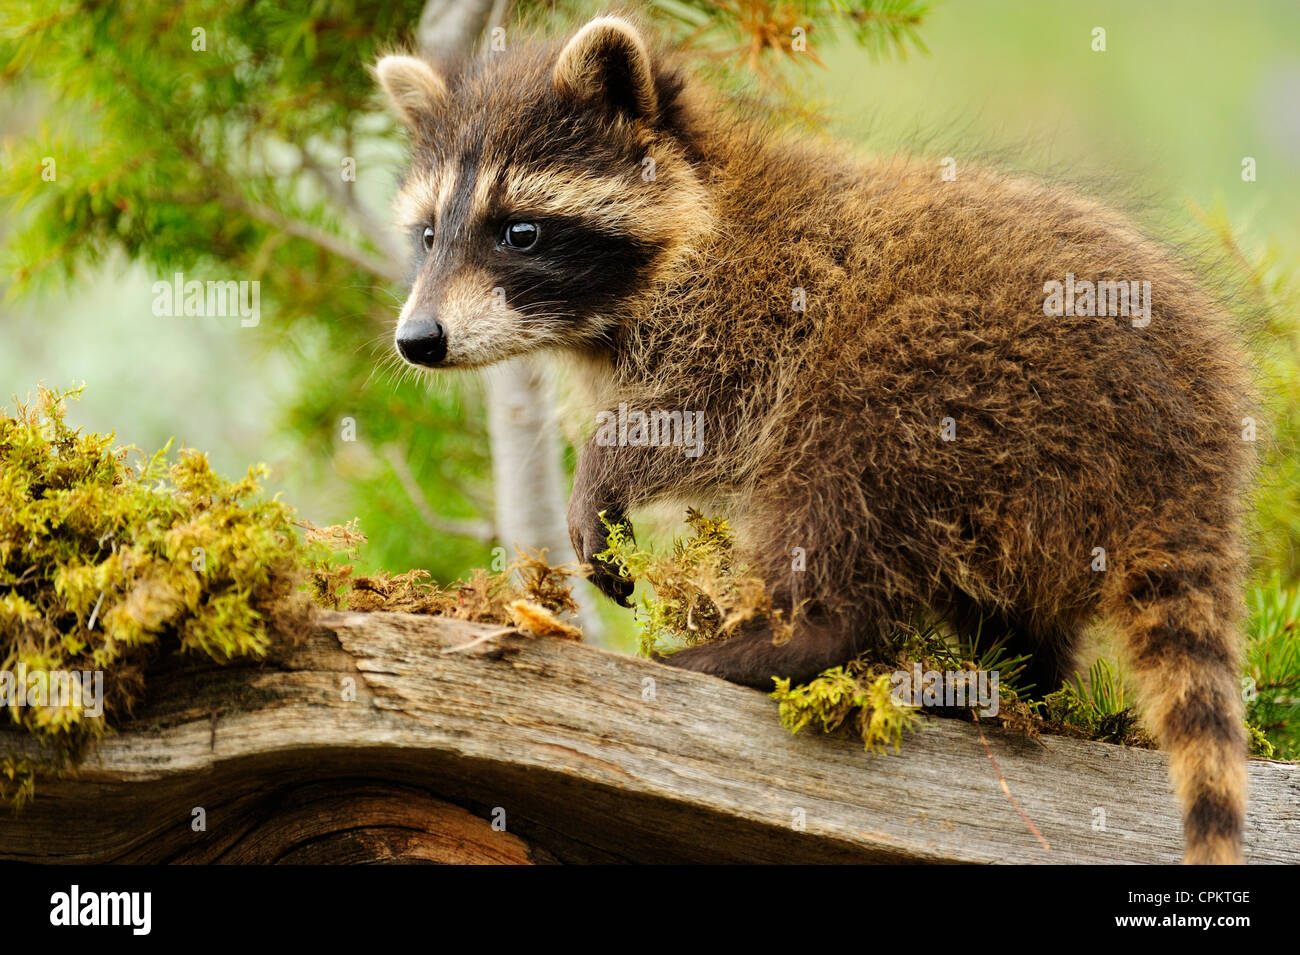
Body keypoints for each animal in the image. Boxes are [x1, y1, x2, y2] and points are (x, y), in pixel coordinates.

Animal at [376, 15, 1257, 864]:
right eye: (428, 236)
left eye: (519, 232)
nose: (419, 339)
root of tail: (1188, 455)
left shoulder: (758, 311)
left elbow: (694, 421)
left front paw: (605, 469)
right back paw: (1015, 677)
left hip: (970, 371)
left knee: (842, 468)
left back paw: (790, 639)